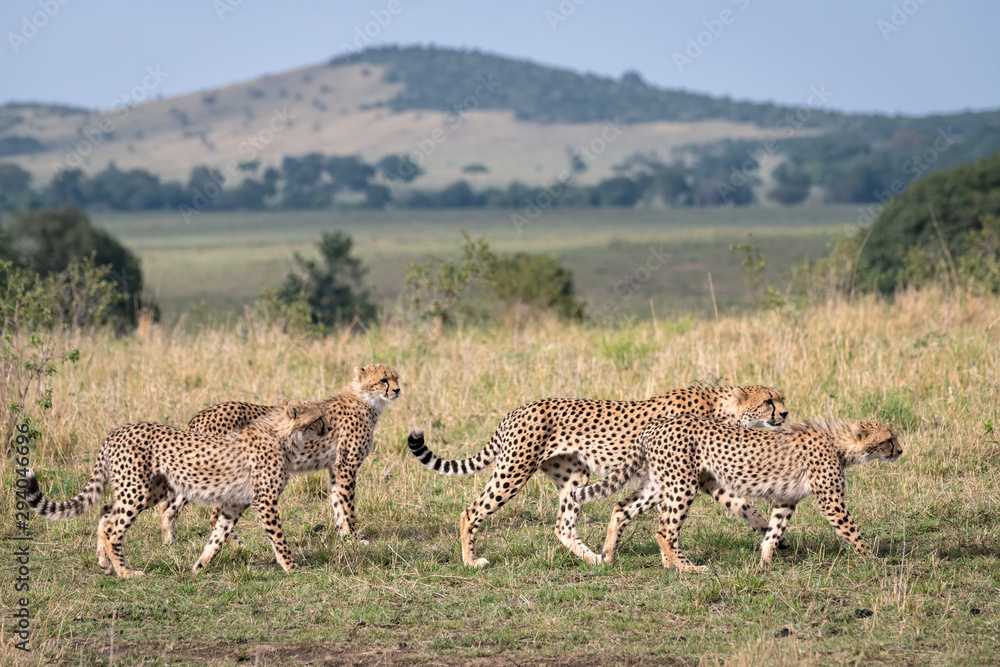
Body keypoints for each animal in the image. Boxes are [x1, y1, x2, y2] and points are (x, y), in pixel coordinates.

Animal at [24, 400, 329, 577]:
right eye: (318, 418)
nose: (327, 429)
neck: (283, 434)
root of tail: (117, 431)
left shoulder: (234, 503)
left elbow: (218, 536)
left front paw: (200, 566)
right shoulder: (264, 501)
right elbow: (278, 537)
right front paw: (292, 567)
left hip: (151, 489)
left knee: (105, 511)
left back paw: (104, 562)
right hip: (137, 490)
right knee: (113, 527)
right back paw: (125, 572)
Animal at [158, 364, 401, 547]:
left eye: (397, 378)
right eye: (383, 380)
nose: (398, 390)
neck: (366, 401)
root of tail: (200, 415)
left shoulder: (335, 468)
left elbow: (337, 502)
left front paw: (344, 535)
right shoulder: (346, 465)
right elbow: (347, 504)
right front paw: (353, 537)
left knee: (168, 507)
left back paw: (170, 542)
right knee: (213, 515)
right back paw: (237, 545)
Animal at [406, 384, 788, 568]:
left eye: (781, 398)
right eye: (769, 401)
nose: (785, 414)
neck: (723, 411)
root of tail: (517, 409)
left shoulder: (693, 477)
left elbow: (742, 506)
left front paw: (777, 539)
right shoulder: (684, 476)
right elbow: (676, 521)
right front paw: (674, 561)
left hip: (572, 475)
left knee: (563, 525)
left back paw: (593, 559)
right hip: (514, 469)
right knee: (471, 511)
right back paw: (471, 560)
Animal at [574, 414, 902, 571]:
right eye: (888, 439)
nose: (900, 451)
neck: (841, 443)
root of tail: (656, 425)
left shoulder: (786, 498)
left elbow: (774, 529)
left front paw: (765, 562)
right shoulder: (831, 501)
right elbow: (852, 531)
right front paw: (874, 560)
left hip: (662, 483)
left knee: (621, 508)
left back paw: (609, 556)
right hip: (682, 484)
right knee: (664, 529)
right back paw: (687, 568)